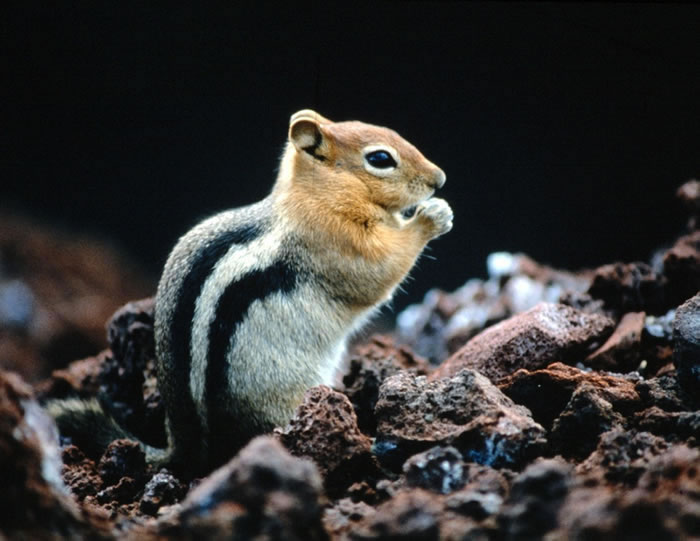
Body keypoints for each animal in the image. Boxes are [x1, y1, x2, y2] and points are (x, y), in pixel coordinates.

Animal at [48, 109, 453, 474]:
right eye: (380, 159)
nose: (440, 179)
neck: (318, 194)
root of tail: (186, 446)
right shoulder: (341, 243)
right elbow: (382, 269)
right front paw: (433, 217)